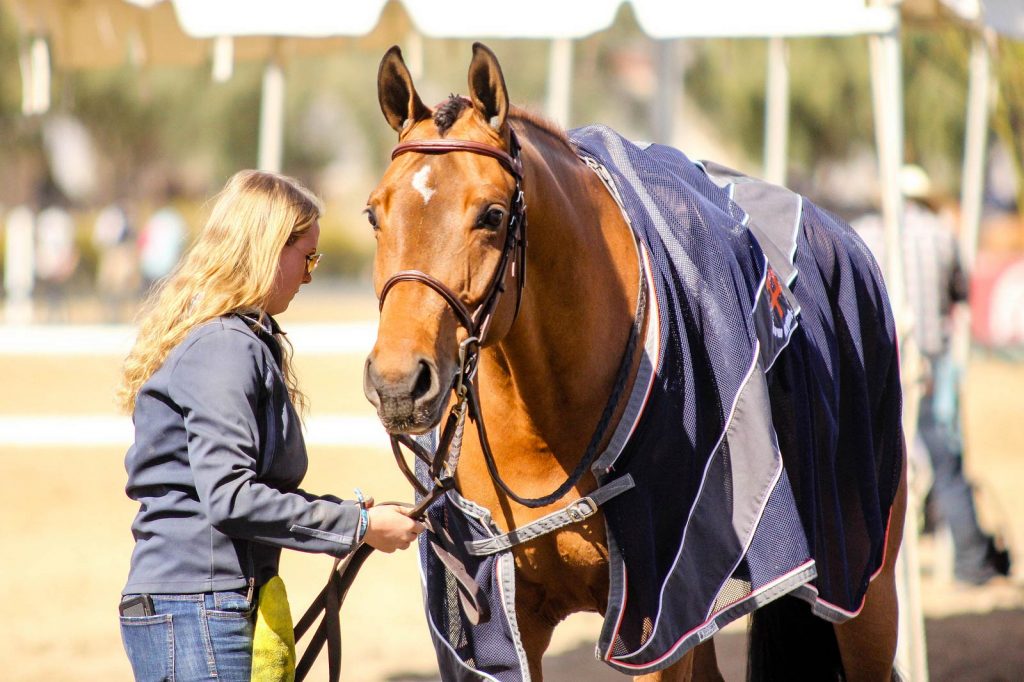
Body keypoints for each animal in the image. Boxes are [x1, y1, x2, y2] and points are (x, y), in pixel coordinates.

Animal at [361, 42, 907, 682]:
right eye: (375, 214)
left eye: (492, 215)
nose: (398, 384)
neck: (542, 422)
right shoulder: (509, 626)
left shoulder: (660, 626)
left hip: (867, 592)